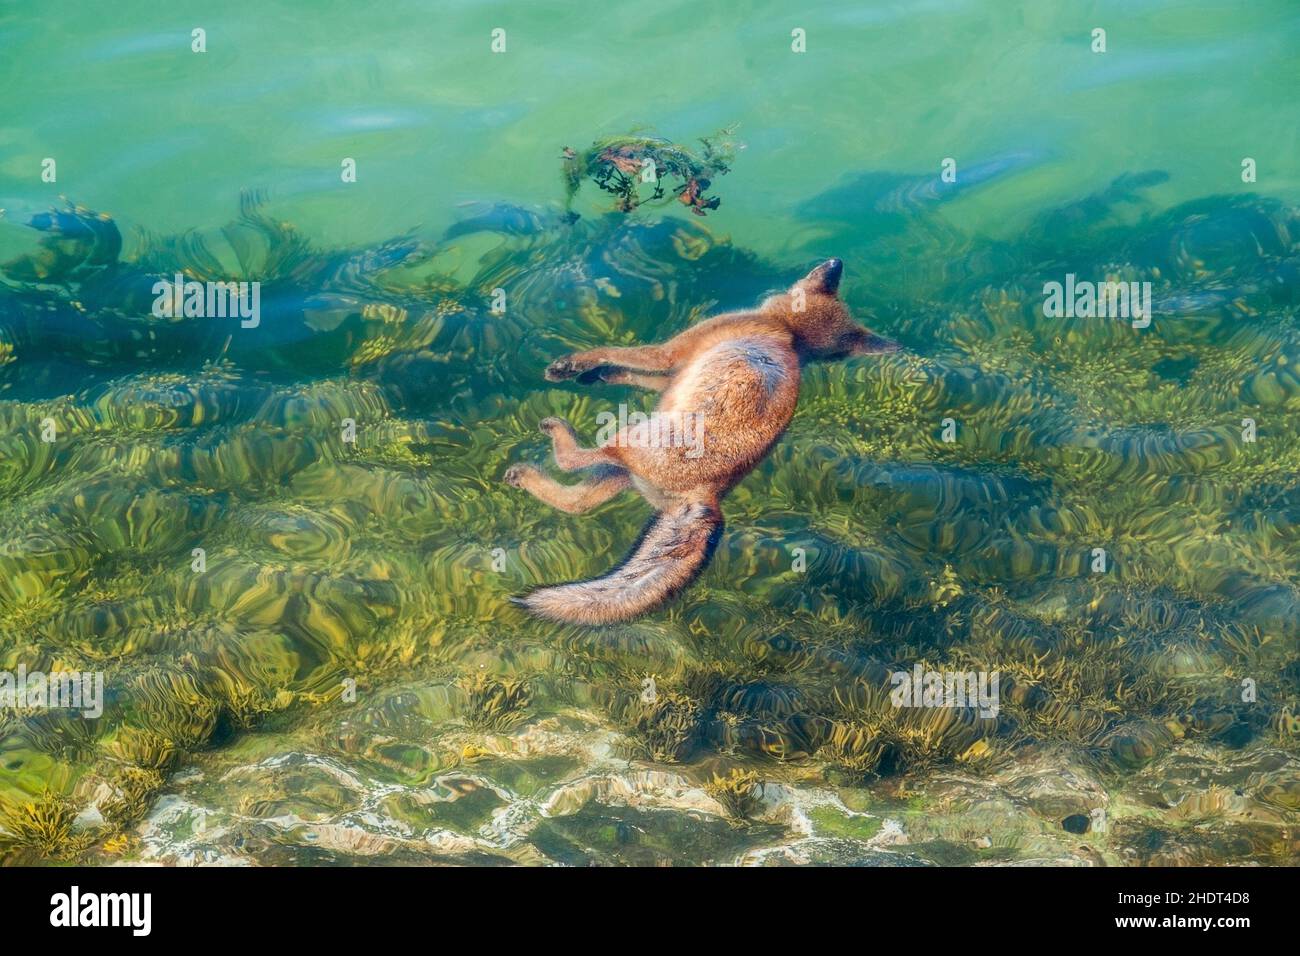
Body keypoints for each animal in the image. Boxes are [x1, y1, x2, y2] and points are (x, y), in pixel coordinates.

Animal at [504, 258, 898, 625]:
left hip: (628, 436)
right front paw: (598, 376)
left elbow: (620, 352)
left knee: (572, 465)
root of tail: (711, 496)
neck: (788, 332)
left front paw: (570, 366)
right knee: (577, 503)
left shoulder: (672, 353)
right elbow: (631, 373)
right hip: (624, 471)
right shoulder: (672, 378)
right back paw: (525, 475)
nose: (835, 262)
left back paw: (556, 433)